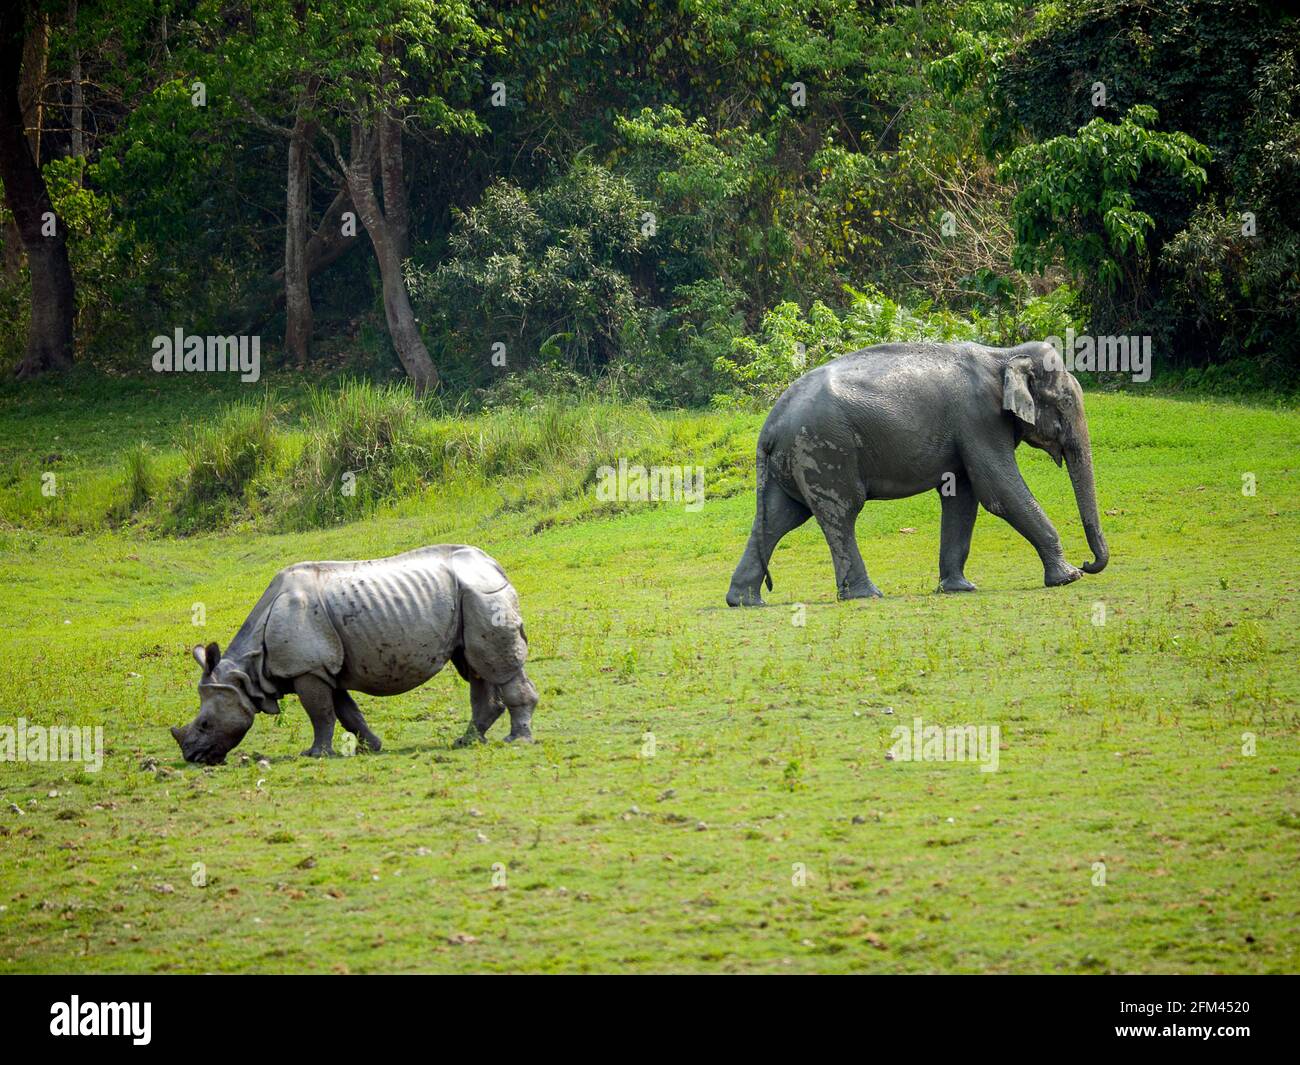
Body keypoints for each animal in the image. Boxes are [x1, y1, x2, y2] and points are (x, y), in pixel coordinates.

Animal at [170, 545, 538, 764]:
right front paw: (370, 747)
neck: (246, 671)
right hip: (469, 597)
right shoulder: (323, 667)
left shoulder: (307, 668)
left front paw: (315, 754)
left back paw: (516, 740)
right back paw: (467, 741)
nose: (192, 757)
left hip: (482, 595)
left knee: (496, 666)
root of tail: (493, 563)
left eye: (205, 723)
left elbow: (320, 714)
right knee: (474, 666)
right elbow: (347, 711)